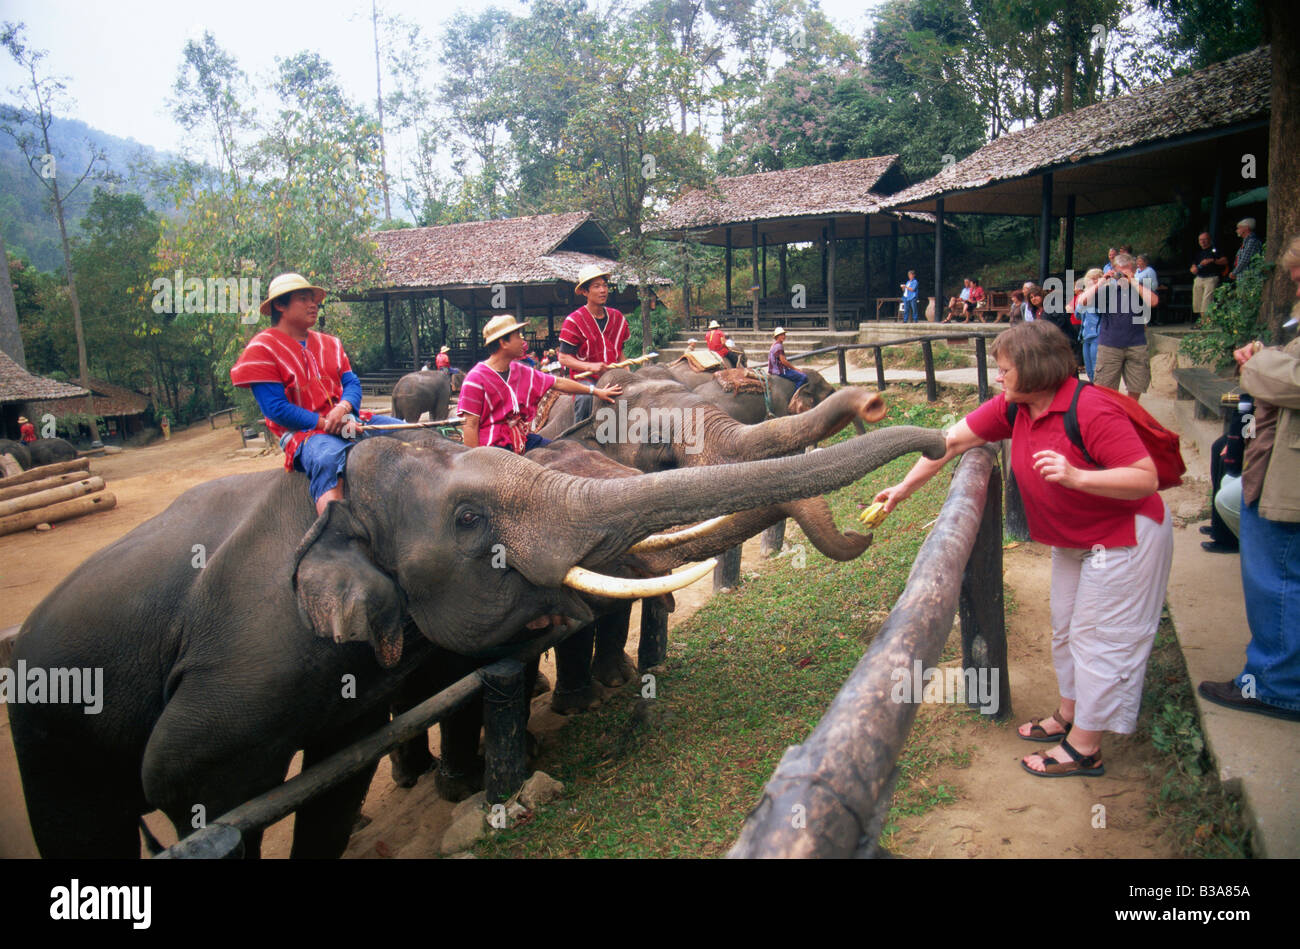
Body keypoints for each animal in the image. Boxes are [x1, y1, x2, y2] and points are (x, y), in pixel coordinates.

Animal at [10, 424, 945, 857]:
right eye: (467, 519)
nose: (938, 442)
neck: (336, 496)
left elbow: (337, 772)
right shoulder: (242, 666)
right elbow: (180, 773)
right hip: (44, 717)